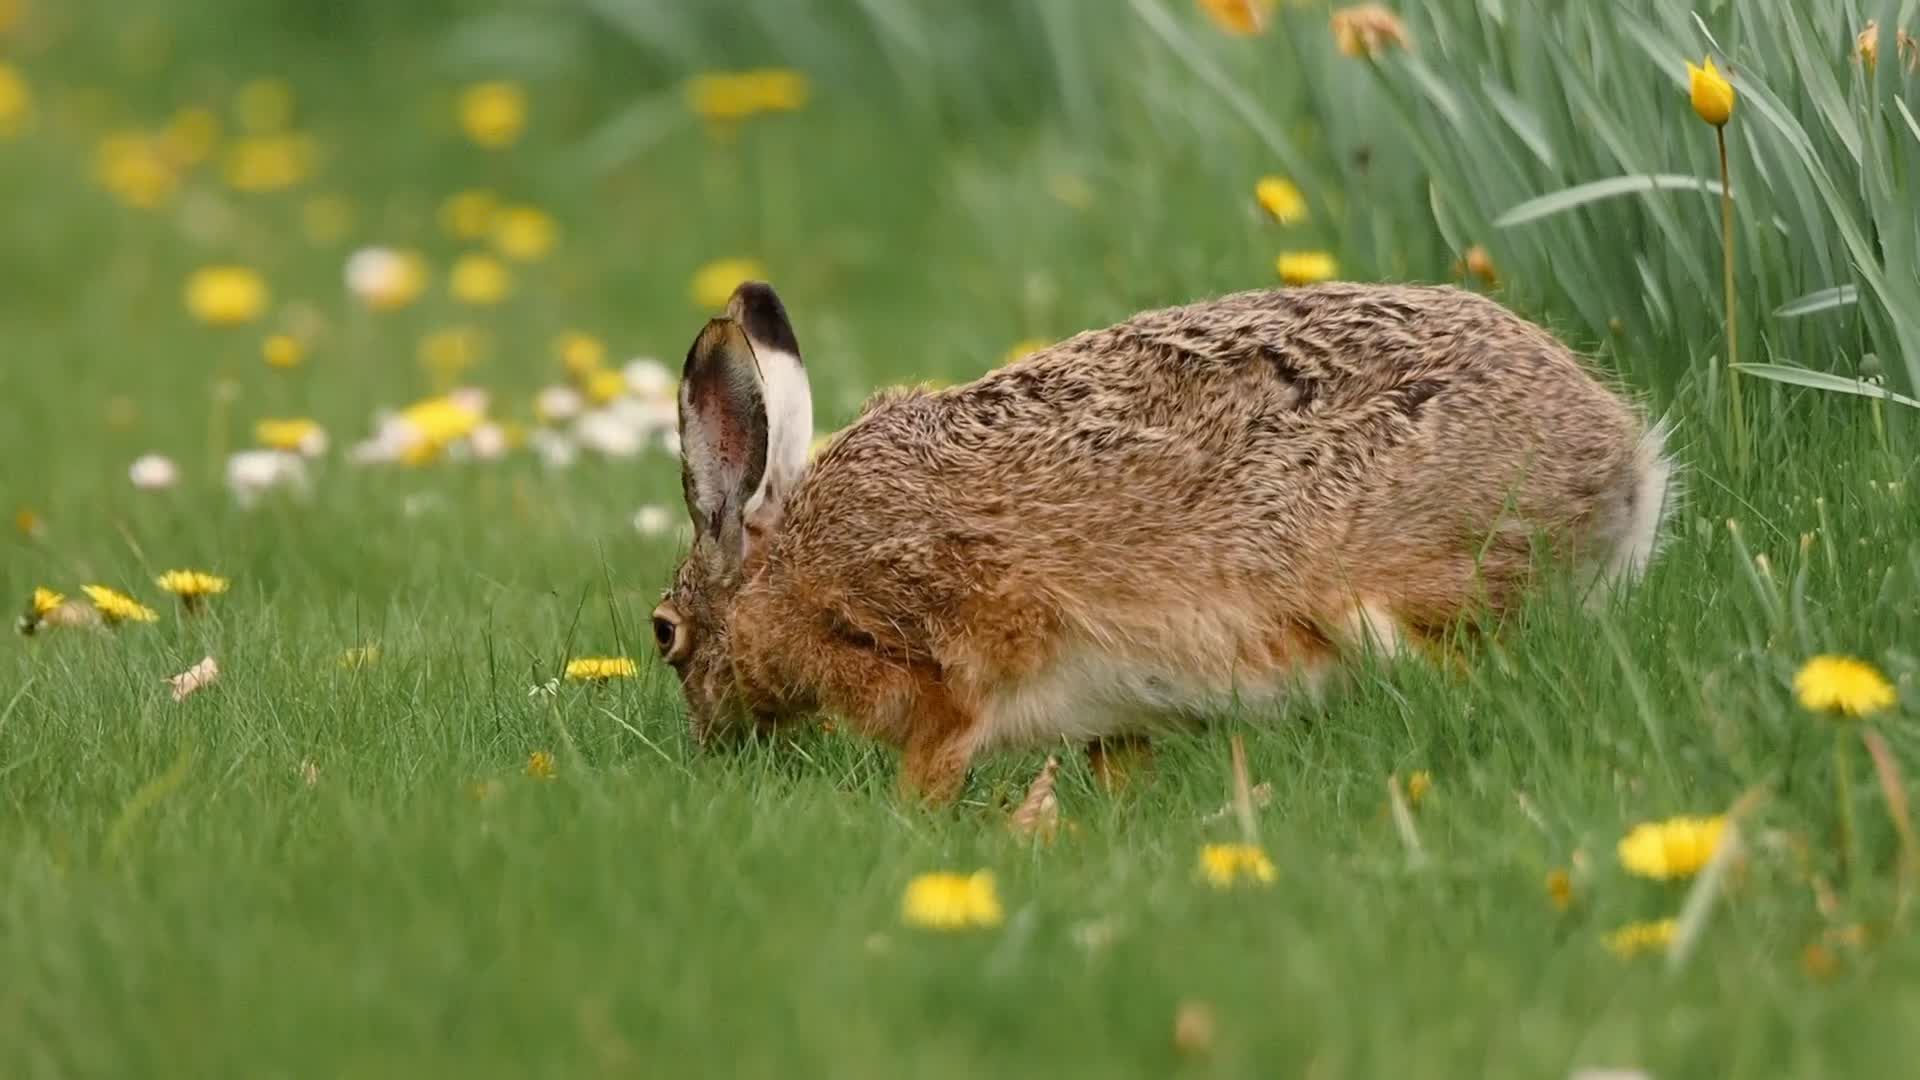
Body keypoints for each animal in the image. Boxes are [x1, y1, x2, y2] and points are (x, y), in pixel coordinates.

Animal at [652, 280, 1674, 801]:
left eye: (664, 635)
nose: (707, 746)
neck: (786, 564)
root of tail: (1624, 465)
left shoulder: (941, 658)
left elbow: (936, 757)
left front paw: (919, 831)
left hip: (1374, 597)